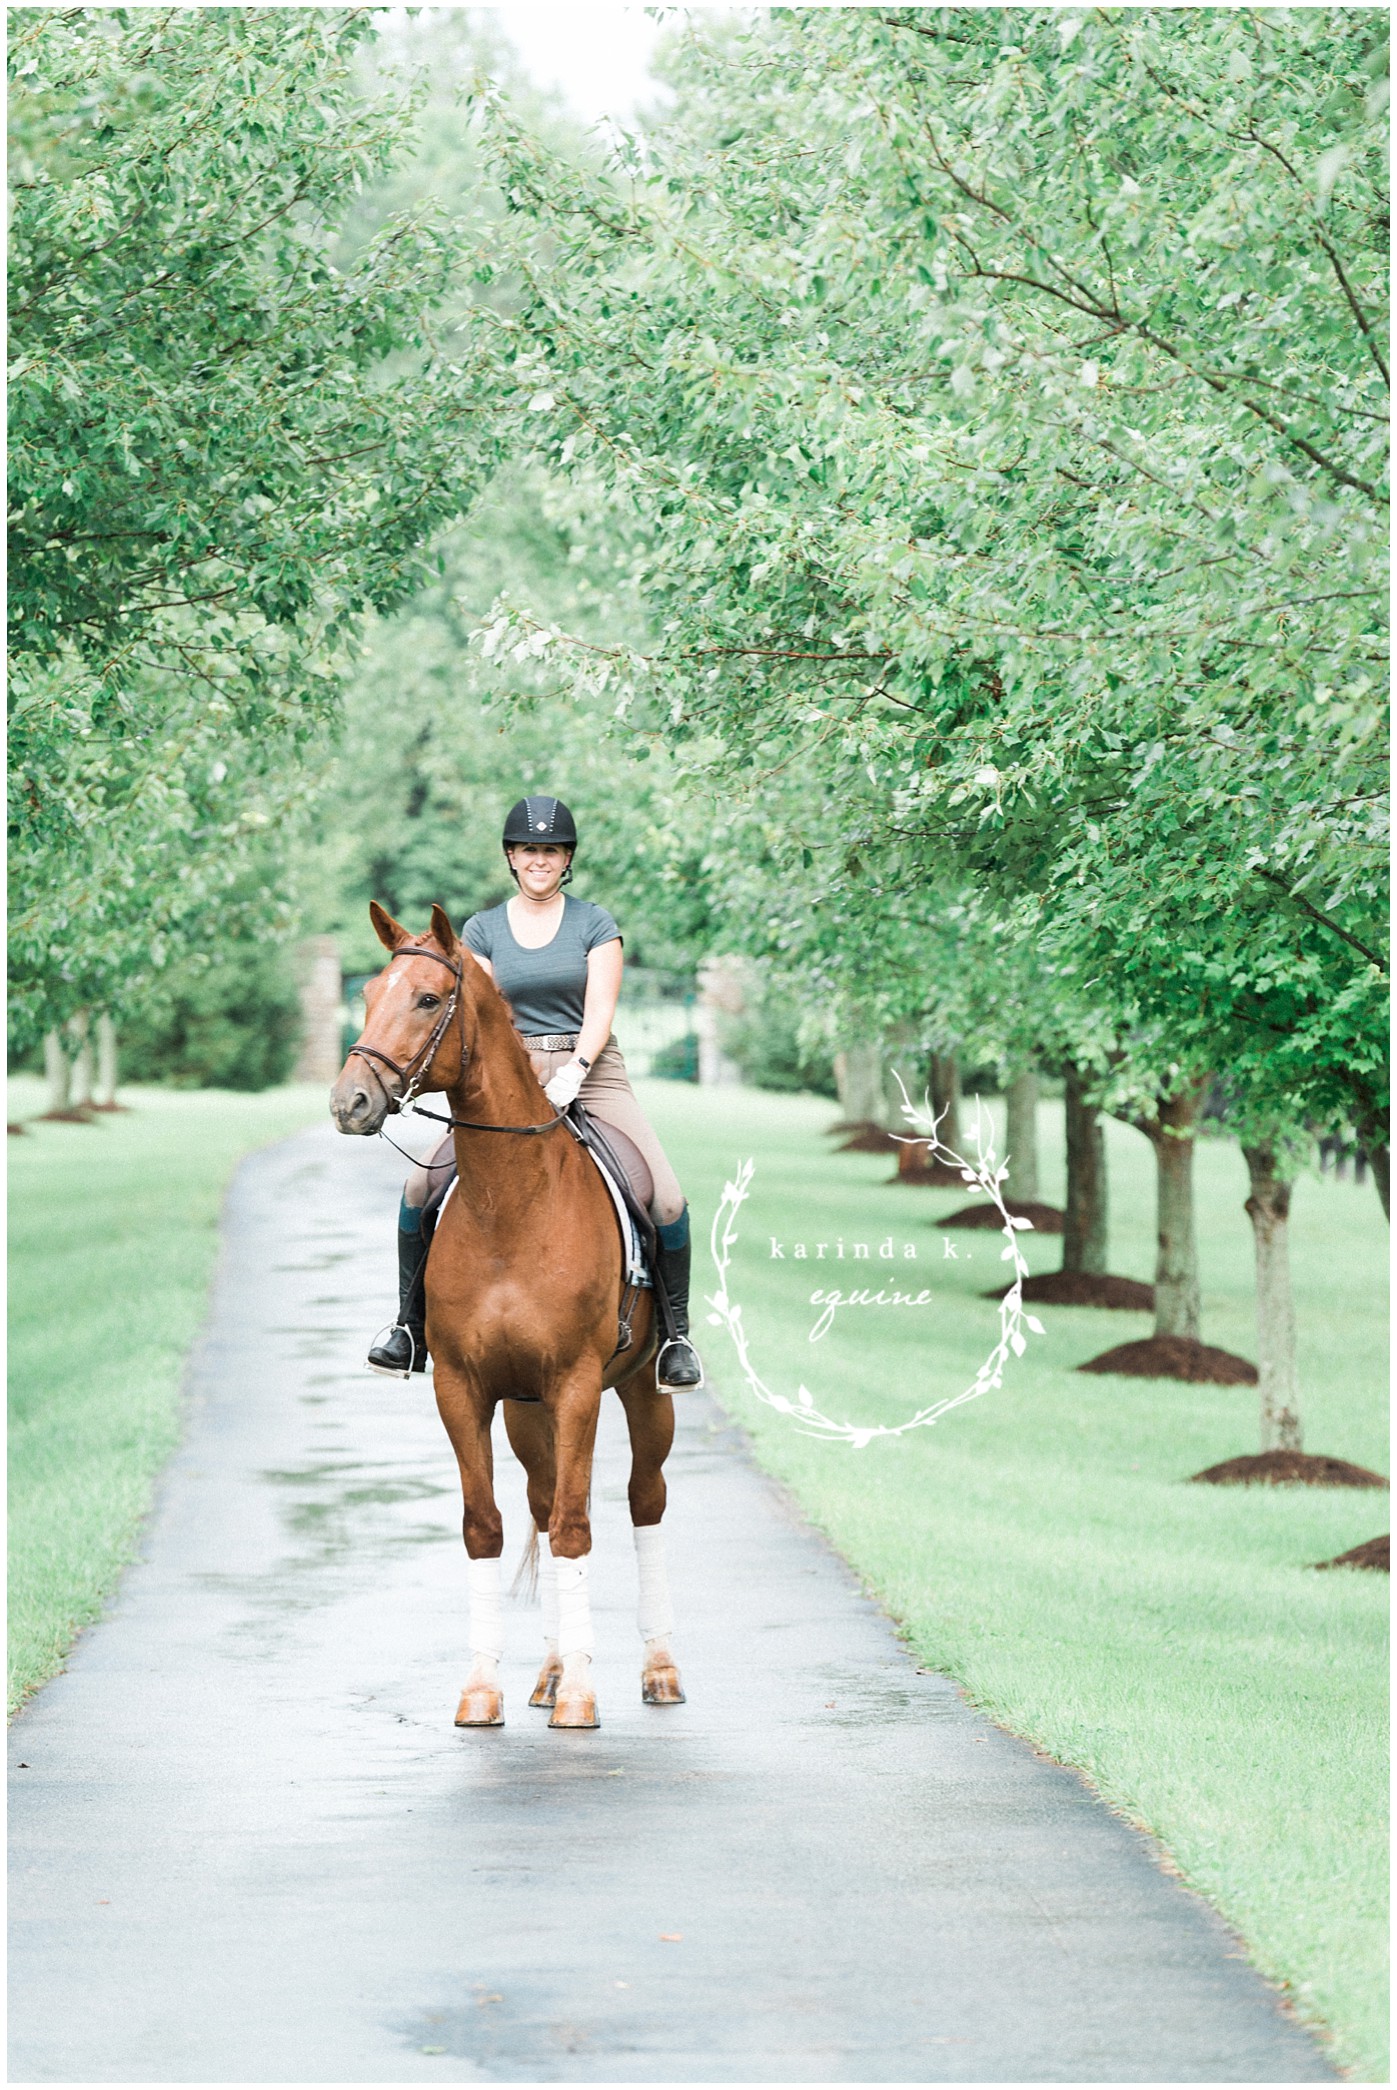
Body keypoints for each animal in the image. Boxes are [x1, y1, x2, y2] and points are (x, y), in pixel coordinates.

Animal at [329, 901, 685, 1731]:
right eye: (366, 993)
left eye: (428, 999)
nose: (349, 1102)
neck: (511, 1203)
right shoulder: (462, 1388)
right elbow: (486, 1525)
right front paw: (483, 1688)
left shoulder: (578, 1387)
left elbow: (581, 1527)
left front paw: (583, 1699)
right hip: (526, 1412)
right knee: (543, 1507)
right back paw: (550, 1671)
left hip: (641, 1394)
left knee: (641, 1502)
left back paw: (656, 1670)